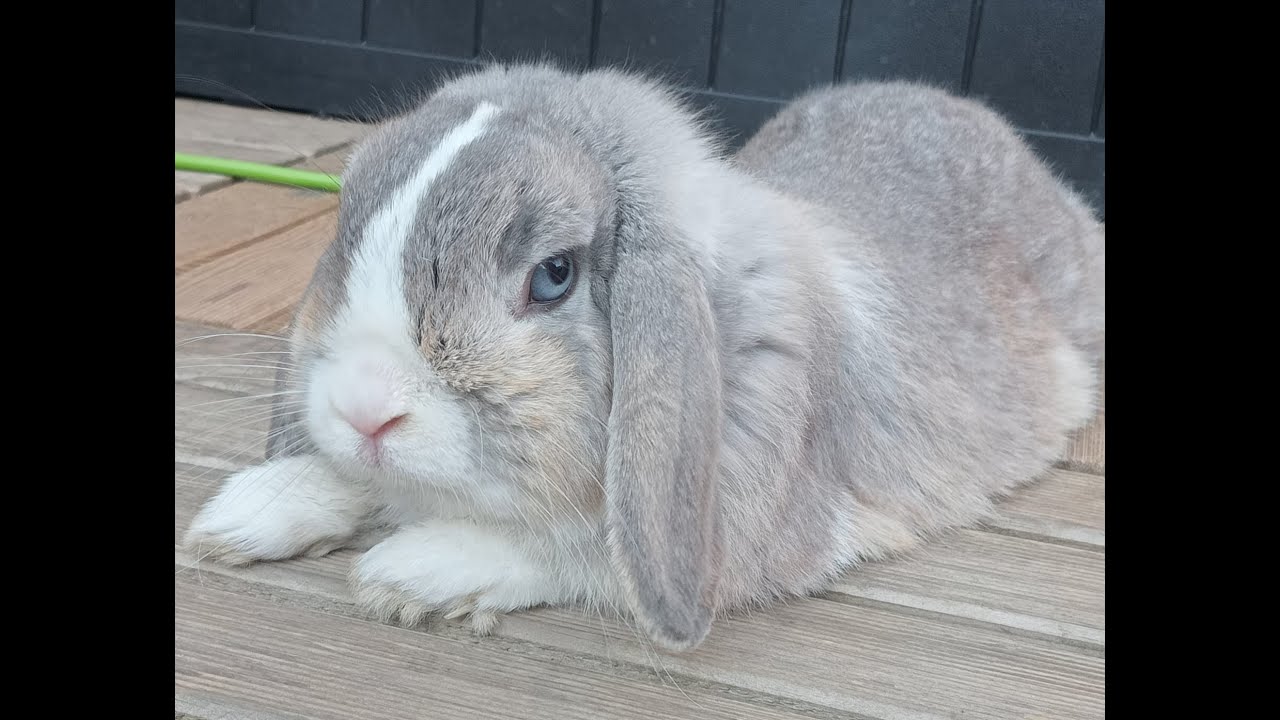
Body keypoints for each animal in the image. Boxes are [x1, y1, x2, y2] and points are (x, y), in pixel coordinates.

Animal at [183, 63, 1104, 653]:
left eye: (553, 276)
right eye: (348, 225)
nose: (365, 409)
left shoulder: (749, 529)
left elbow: (581, 550)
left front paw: (417, 572)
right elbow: (367, 484)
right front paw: (250, 512)